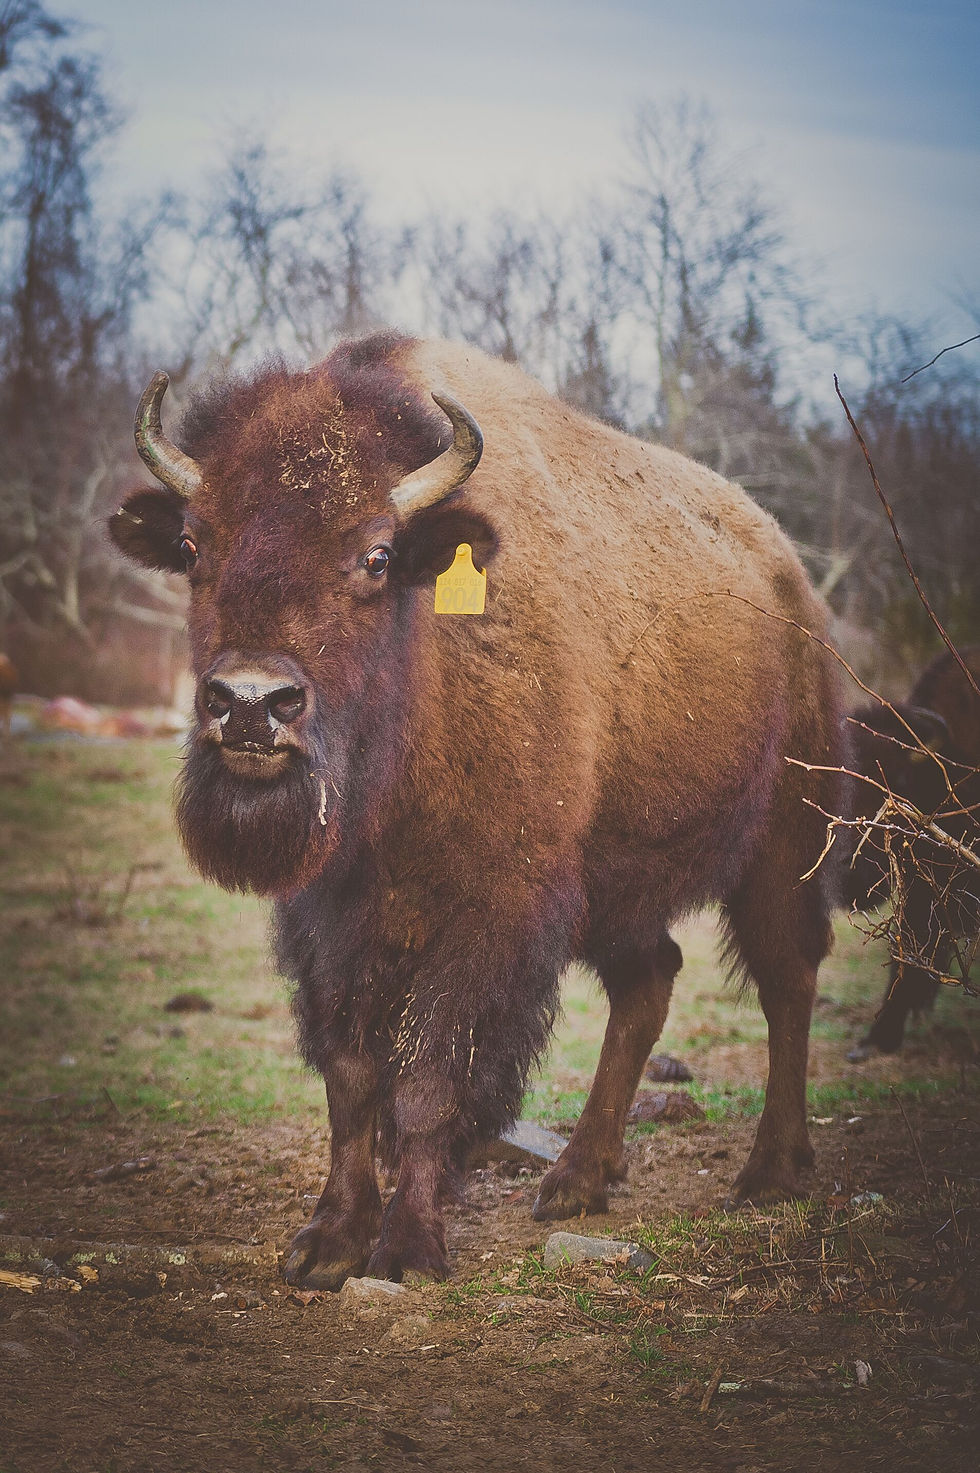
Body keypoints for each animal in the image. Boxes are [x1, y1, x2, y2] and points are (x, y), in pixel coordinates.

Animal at [110, 333, 843, 1286]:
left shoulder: (494, 907)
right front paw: (328, 1239)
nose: (250, 704)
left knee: (787, 981)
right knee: (649, 985)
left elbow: (429, 1080)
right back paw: (577, 1179)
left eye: (377, 556)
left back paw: (768, 1173)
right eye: (195, 545)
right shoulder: (332, 919)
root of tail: (794, 585)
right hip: (616, 881)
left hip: (782, 845)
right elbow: (351, 1077)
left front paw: (409, 1249)